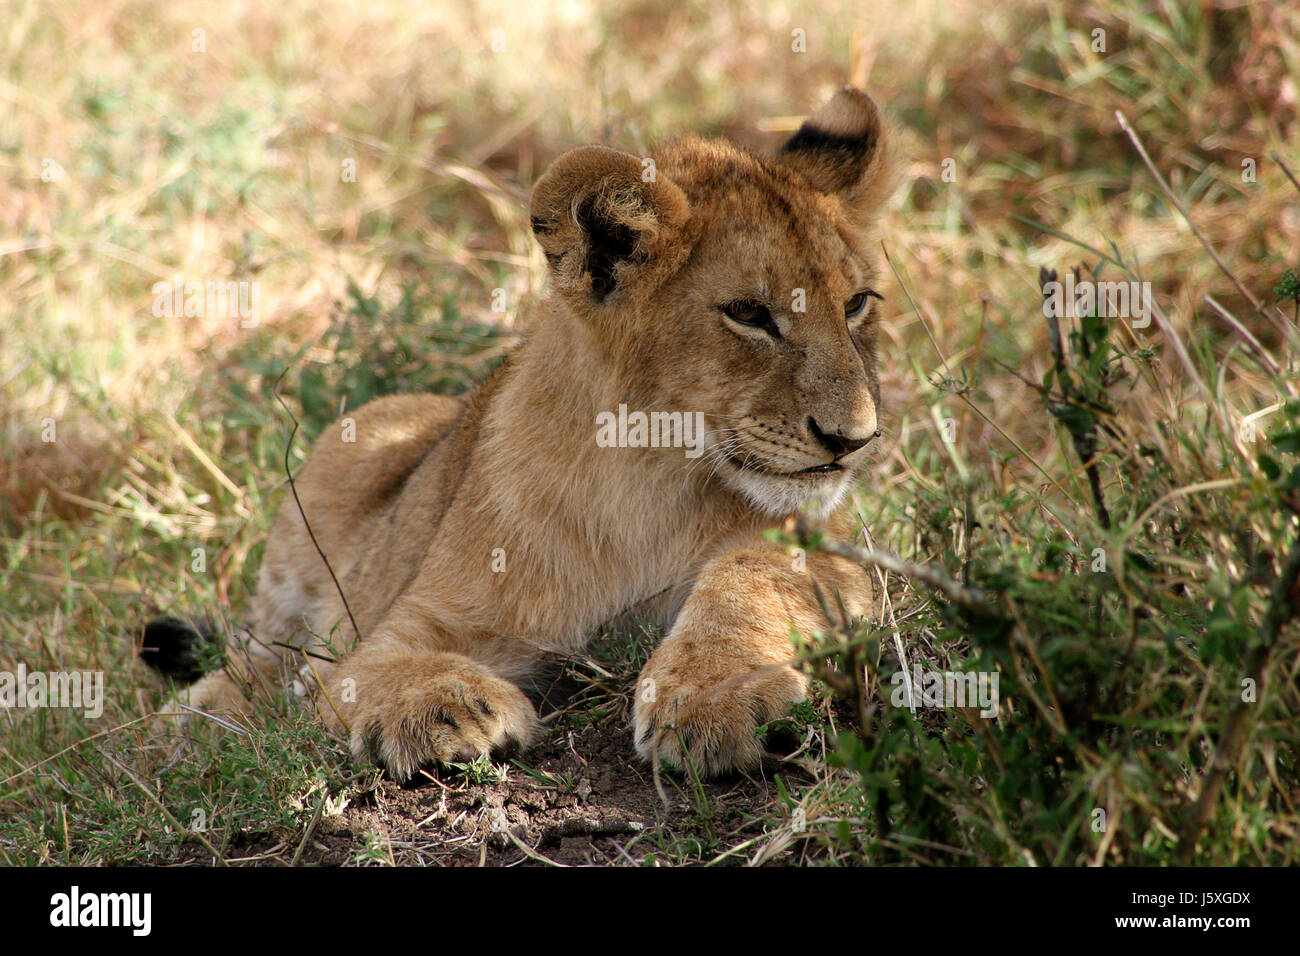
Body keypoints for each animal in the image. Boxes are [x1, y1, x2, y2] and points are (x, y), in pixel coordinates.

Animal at [143, 87, 901, 781]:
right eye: (747, 314)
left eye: (857, 303)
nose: (854, 438)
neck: (648, 475)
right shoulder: (403, 625)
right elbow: (366, 668)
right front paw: (440, 704)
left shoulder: (840, 558)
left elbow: (751, 574)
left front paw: (719, 695)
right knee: (259, 654)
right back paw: (195, 719)